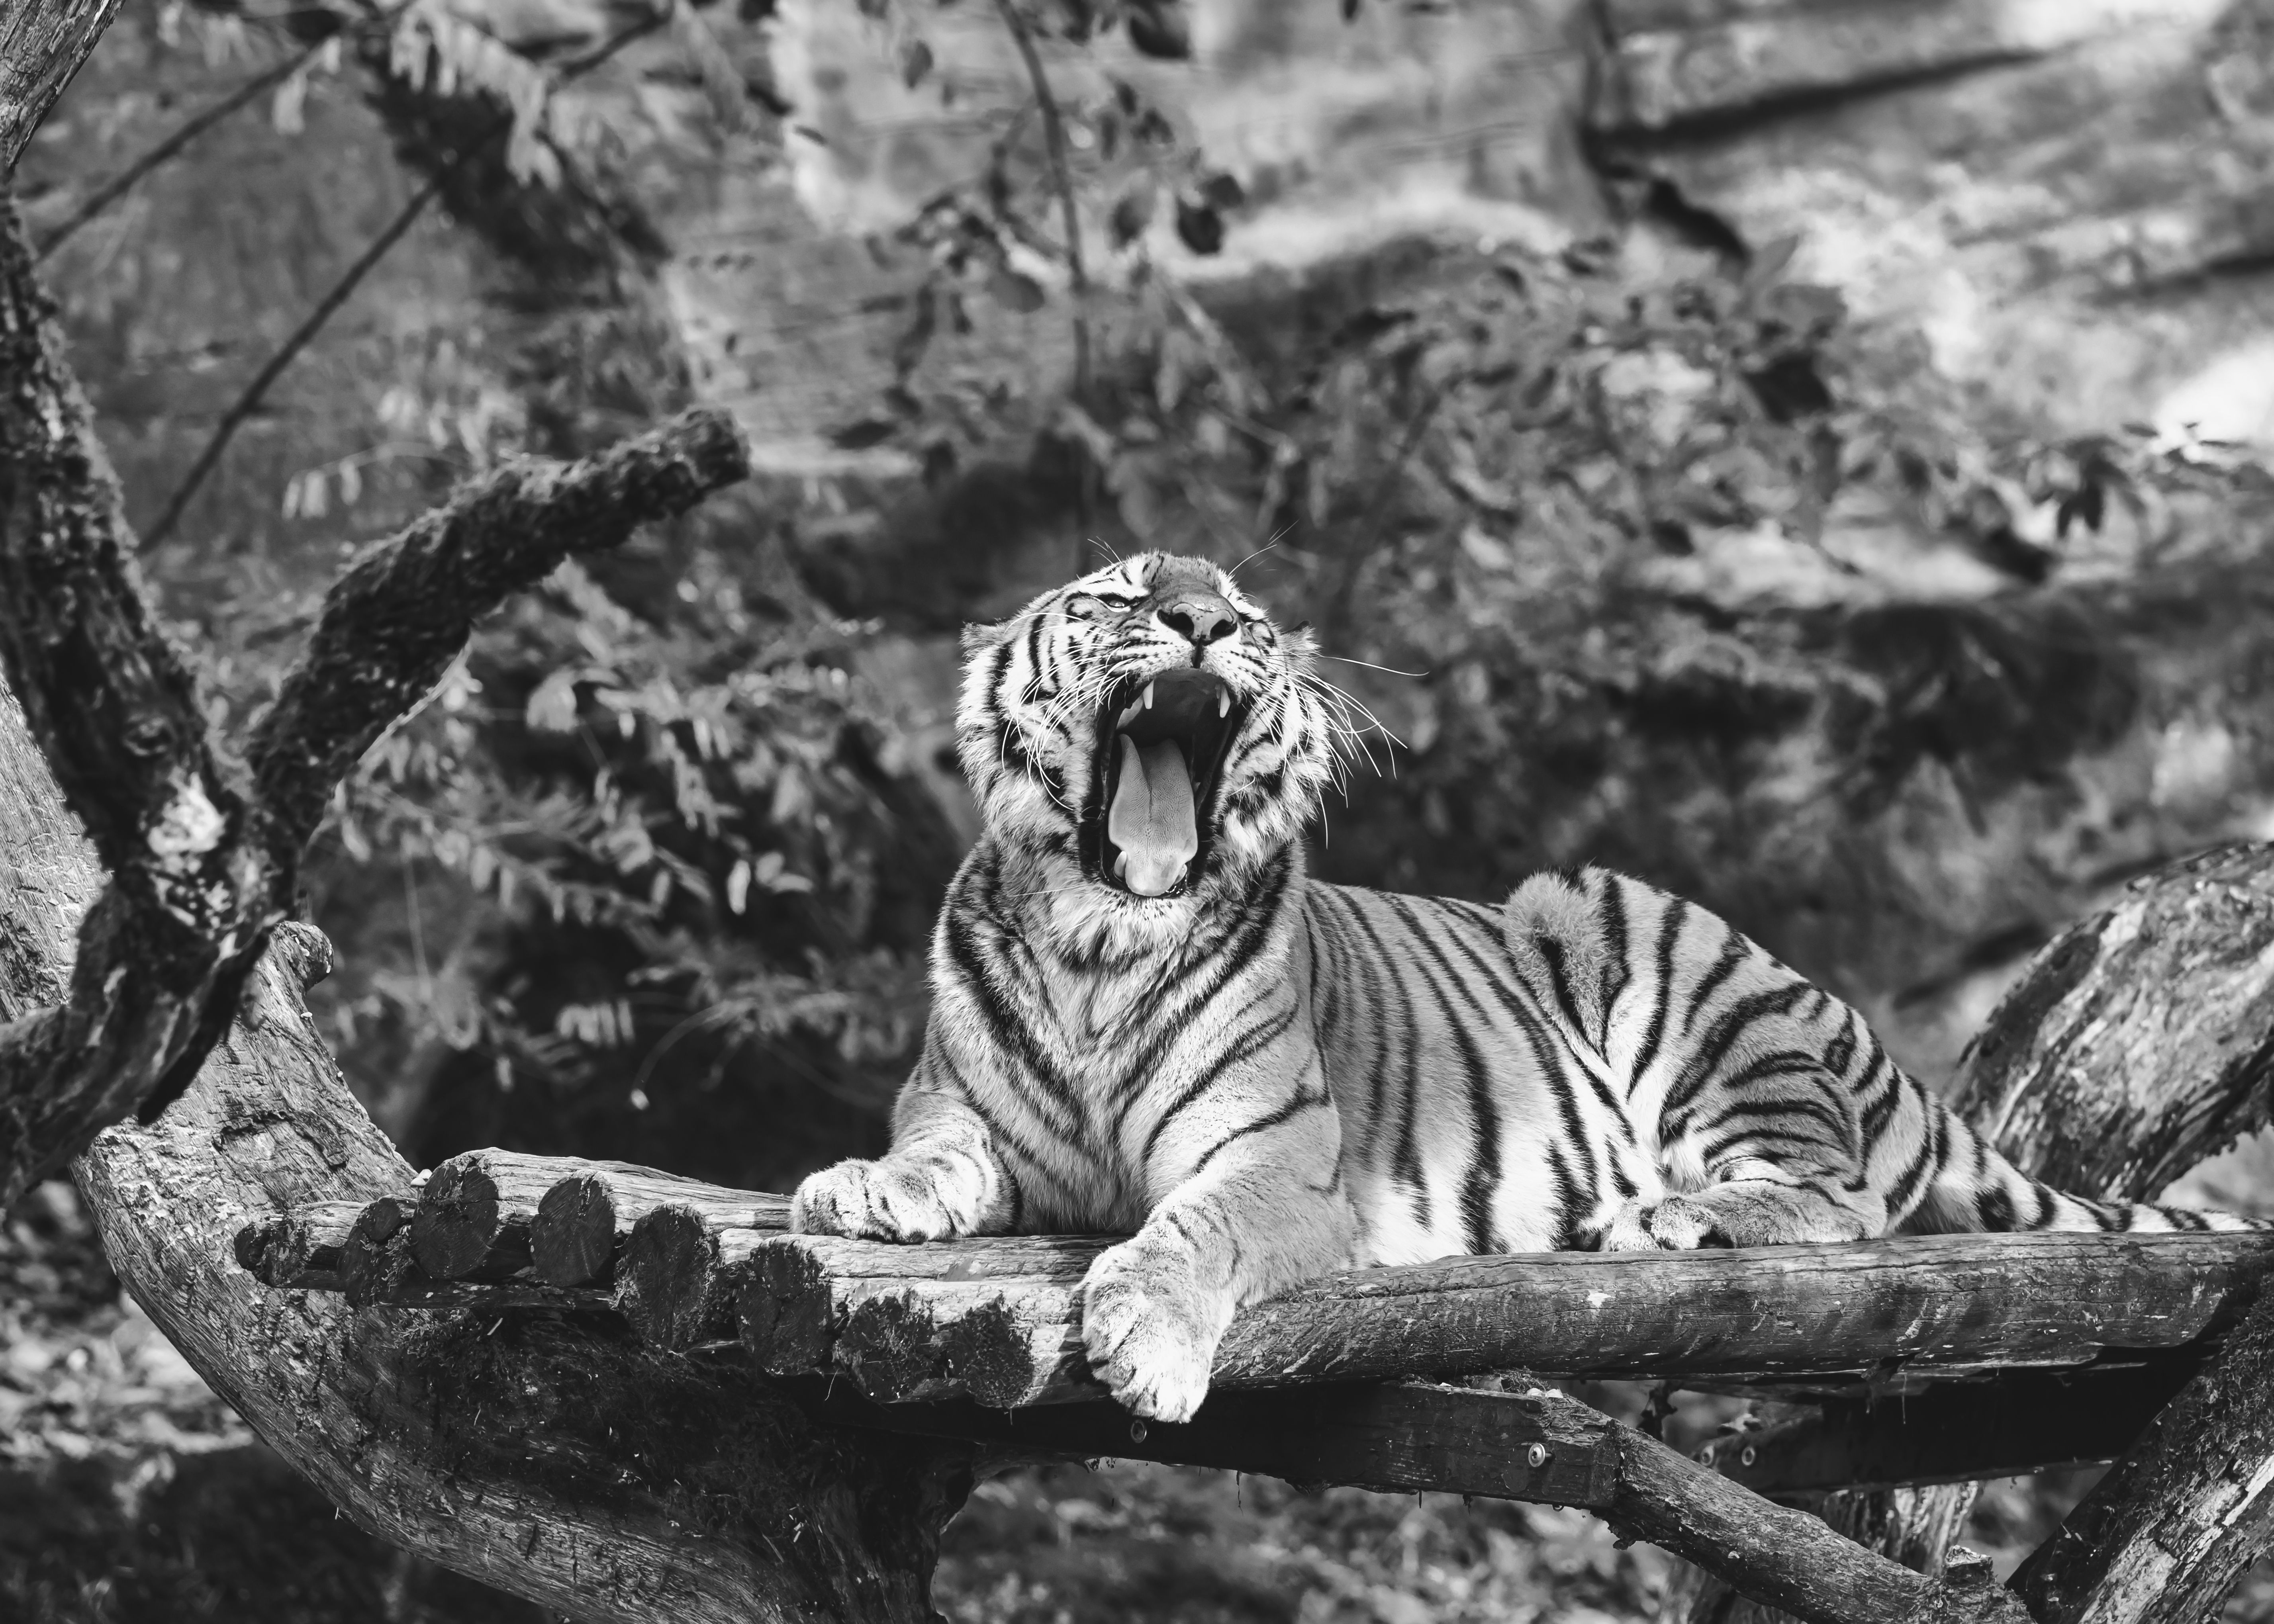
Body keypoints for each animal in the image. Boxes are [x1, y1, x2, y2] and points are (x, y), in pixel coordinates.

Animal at [790, 550, 2260, 1423]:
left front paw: (1145, 1338)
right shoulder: (961, 1107)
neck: (1102, 941)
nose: (1205, 622)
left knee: (1837, 1193)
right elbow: (932, 1150)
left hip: (1643, 937)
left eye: (1246, 619)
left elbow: (1184, 1230)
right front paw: (857, 1185)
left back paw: (1667, 1215)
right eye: (1117, 594)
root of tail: (1859, 1033)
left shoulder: (1277, 1164)